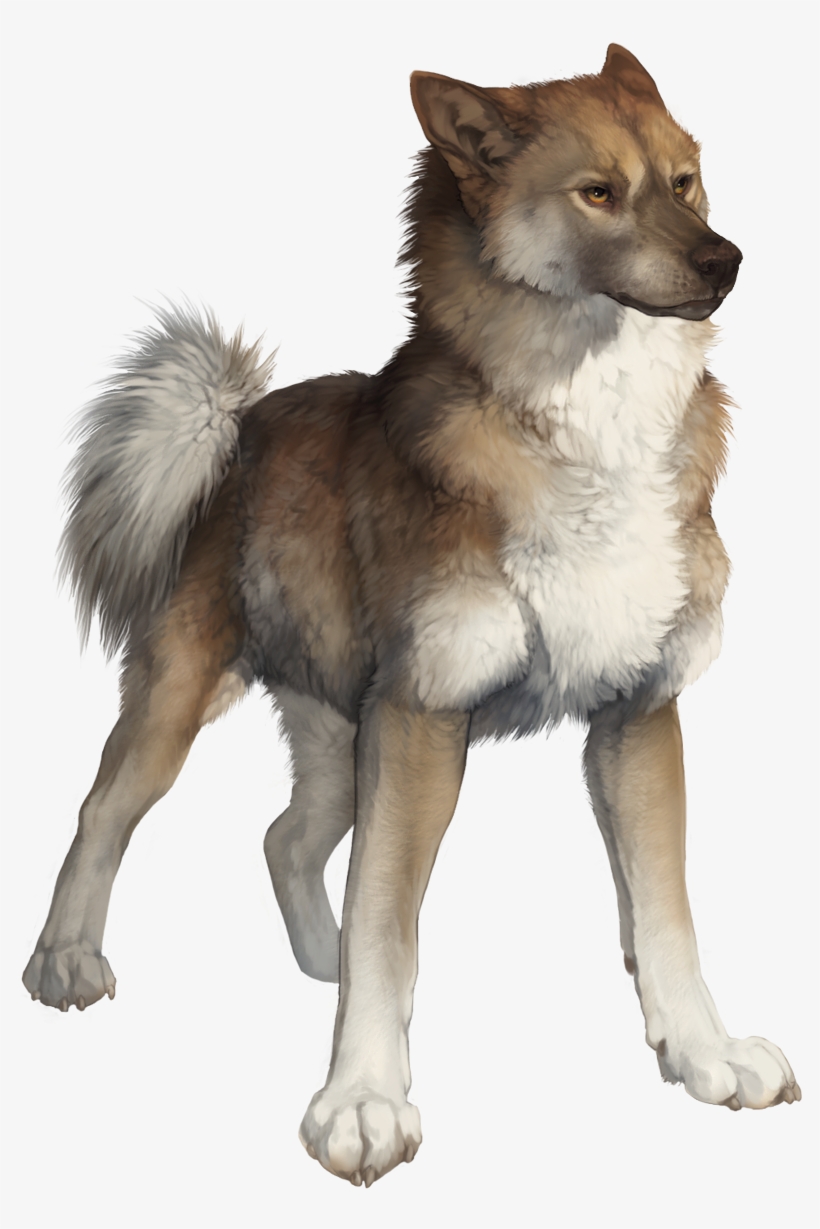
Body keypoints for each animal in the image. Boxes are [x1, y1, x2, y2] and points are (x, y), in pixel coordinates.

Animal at [24, 45, 800, 1185]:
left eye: (684, 181)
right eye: (597, 193)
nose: (725, 260)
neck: (587, 429)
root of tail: (234, 432)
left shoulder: (634, 715)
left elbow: (663, 912)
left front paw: (704, 1054)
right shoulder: (425, 718)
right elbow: (389, 924)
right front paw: (361, 1104)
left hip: (343, 733)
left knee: (286, 836)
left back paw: (317, 955)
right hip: (188, 705)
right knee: (100, 815)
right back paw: (66, 959)